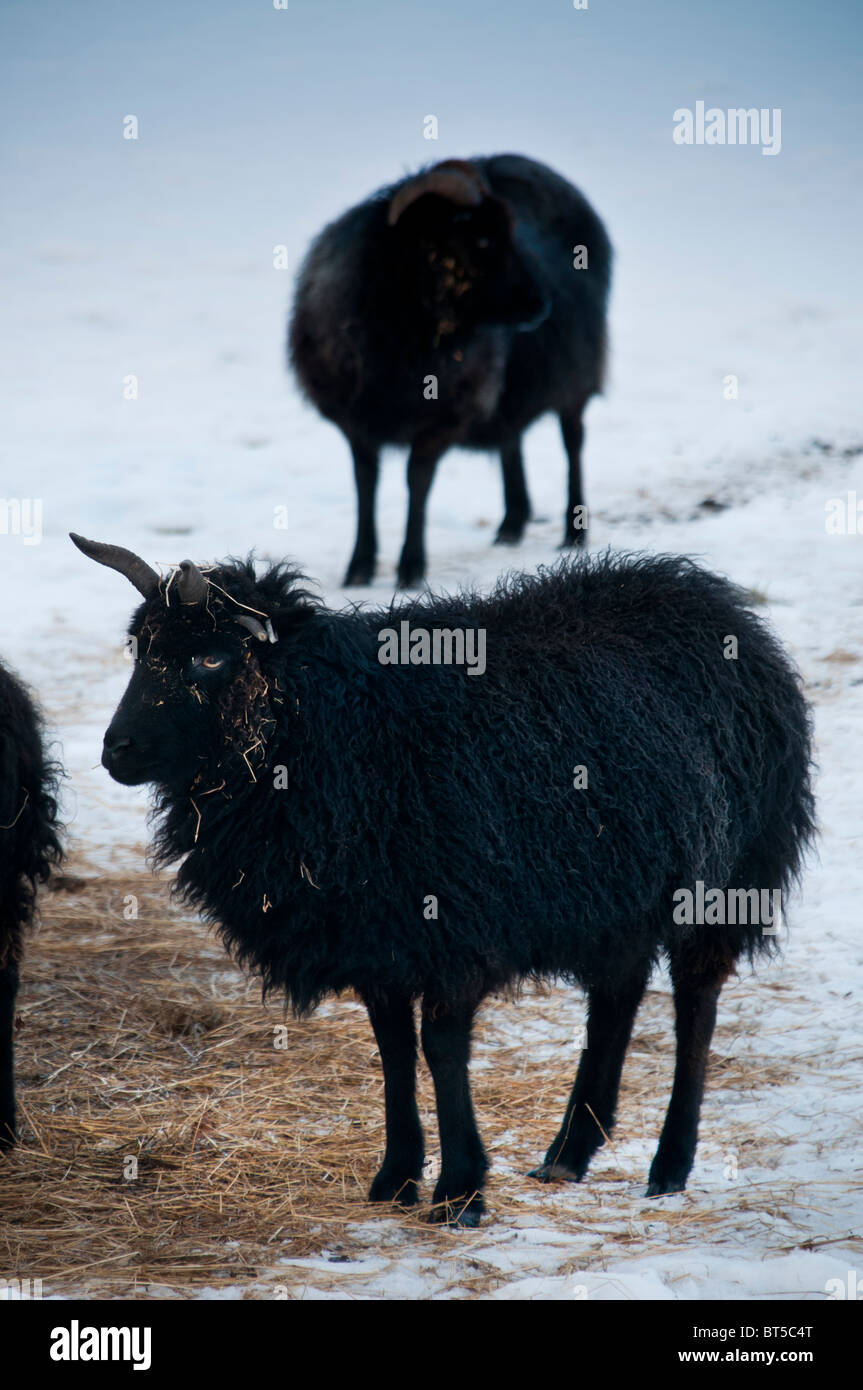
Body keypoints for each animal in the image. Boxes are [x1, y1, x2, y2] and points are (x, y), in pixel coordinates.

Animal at [71, 532, 815, 1225]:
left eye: (209, 657)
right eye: (140, 651)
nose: (117, 751)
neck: (330, 725)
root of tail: (716, 601)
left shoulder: (453, 923)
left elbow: (442, 1049)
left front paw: (460, 1189)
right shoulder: (374, 935)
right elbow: (395, 1051)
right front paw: (396, 1177)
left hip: (726, 877)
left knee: (696, 1003)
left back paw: (669, 1163)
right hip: (617, 887)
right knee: (618, 993)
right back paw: (569, 1152)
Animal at [289, 153, 612, 588]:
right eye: (481, 241)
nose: (542, 304)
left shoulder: (443, 416)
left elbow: (417, 479)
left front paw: (410, 569)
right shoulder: (356, 421)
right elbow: (365, 484)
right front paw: (359, 567)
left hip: (575, 372)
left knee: (572, 442)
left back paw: (573, 533)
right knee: (512, 437)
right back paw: (512, 524)